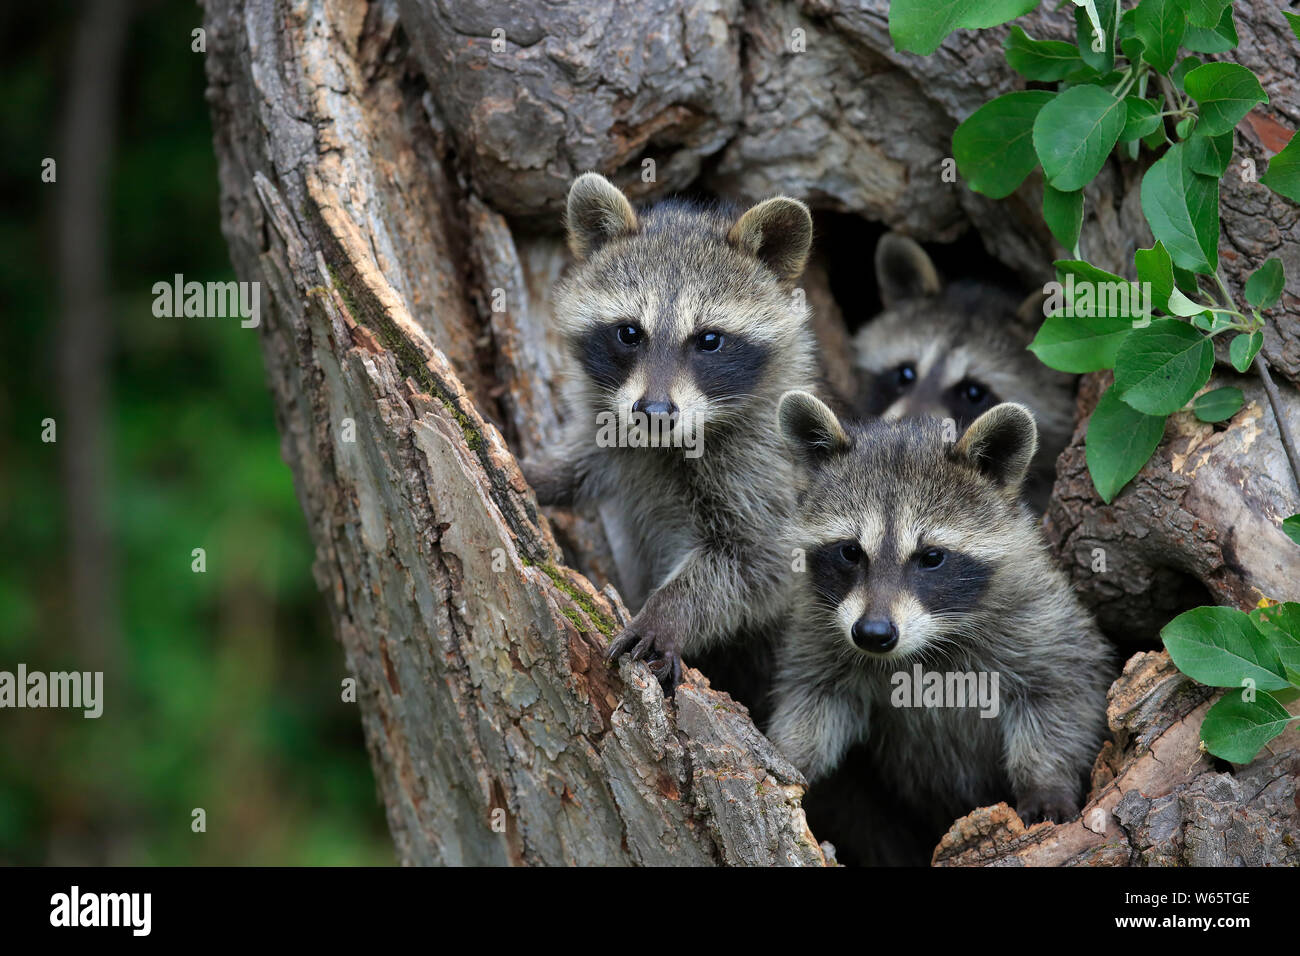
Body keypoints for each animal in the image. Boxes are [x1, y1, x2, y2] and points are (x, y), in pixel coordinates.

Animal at [522, 173, 819, 695]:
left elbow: (758, 561)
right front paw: (541, 474)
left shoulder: (762, 466)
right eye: (628, 333)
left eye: (709, 340)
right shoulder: (616, 429)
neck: (665, 444)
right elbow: (584, 461)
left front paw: (668, 611)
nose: (656, 412)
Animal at [766, 392, 1112, 858]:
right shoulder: (822, 631)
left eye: (931, 557)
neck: (927, 644)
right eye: (850, 552)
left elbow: (1062, 694)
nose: (873, 635)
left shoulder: (1039, 618)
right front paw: (789, 758)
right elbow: (814, 699)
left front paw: (1046, 779)